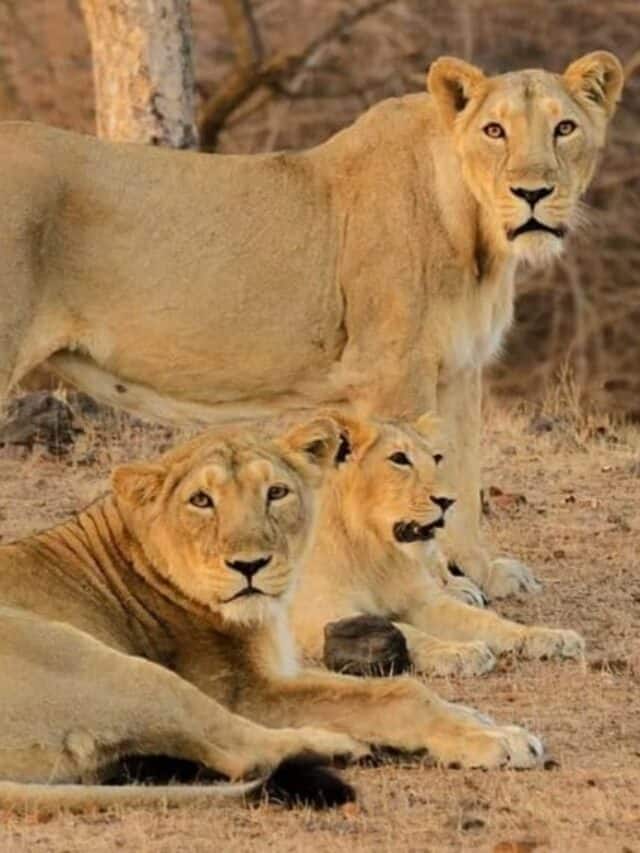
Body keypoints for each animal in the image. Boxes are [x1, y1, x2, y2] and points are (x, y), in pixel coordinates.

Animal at [0, 52, 623, 598]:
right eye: (495, 131)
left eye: (565, 127)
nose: (533, 193)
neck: (479, 234)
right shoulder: (395, 373)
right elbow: (417, 484)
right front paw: (443, 587)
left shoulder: (458, 370)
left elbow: (463, 476)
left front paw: (484, 572)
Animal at [0, 417, 547, 812]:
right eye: (201, 500)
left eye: (276, 493)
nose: (250, 565)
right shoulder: (245, 689)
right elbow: (397, 695)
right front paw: (497, 740)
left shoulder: (280, 667)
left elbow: (390, 689)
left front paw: (479, 717)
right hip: (117, 666)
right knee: (241, 751)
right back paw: (338, 744)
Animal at [291, 413, 585, 677]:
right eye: (399, 459)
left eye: (436, 458)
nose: (448, 501)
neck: (376, 548)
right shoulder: (322, 612)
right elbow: (407, 632)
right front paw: (456, 653)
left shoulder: (422, 599)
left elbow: (482, 620)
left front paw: (550, 637)